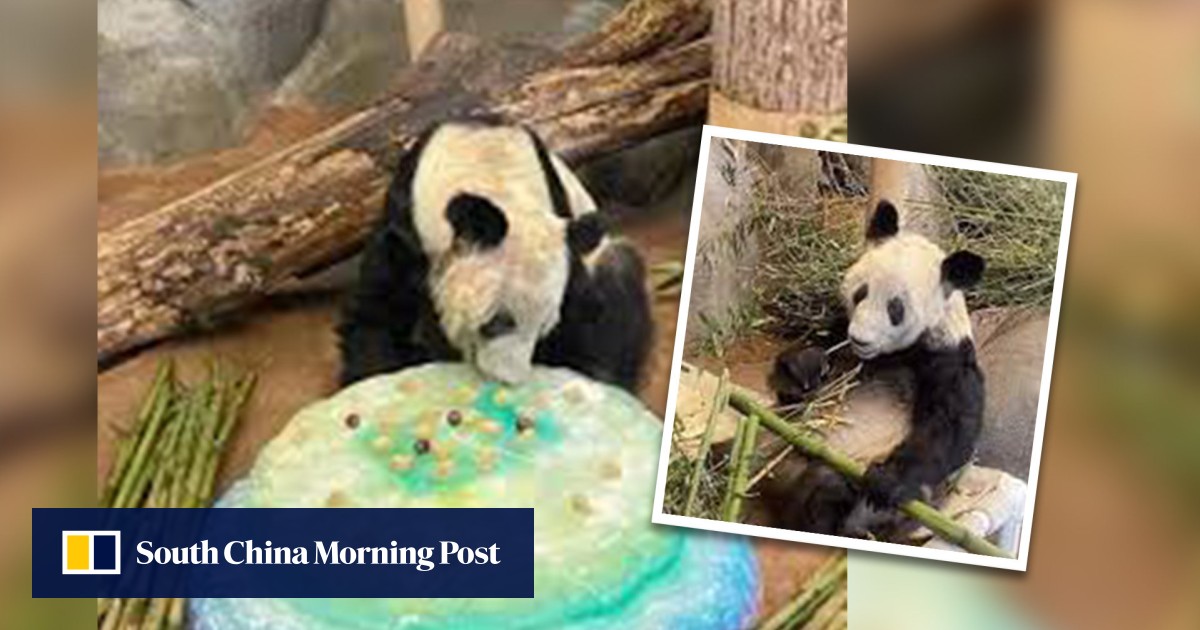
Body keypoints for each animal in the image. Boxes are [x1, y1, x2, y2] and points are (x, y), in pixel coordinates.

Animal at [337, 118, 652, 392]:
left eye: (543, 329)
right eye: (496, 323)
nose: (508, 379)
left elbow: (585, 314)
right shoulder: (408, 225)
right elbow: (376, 309)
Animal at [770, 199, 986, 537]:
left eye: (895, 309)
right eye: (861, 293)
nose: (860, 338)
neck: (889, 355)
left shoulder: (946, 359)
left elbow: (948, 428)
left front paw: (887, 481)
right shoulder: (842, 338)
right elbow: (800, 391)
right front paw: (805, 367)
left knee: (829, 488)